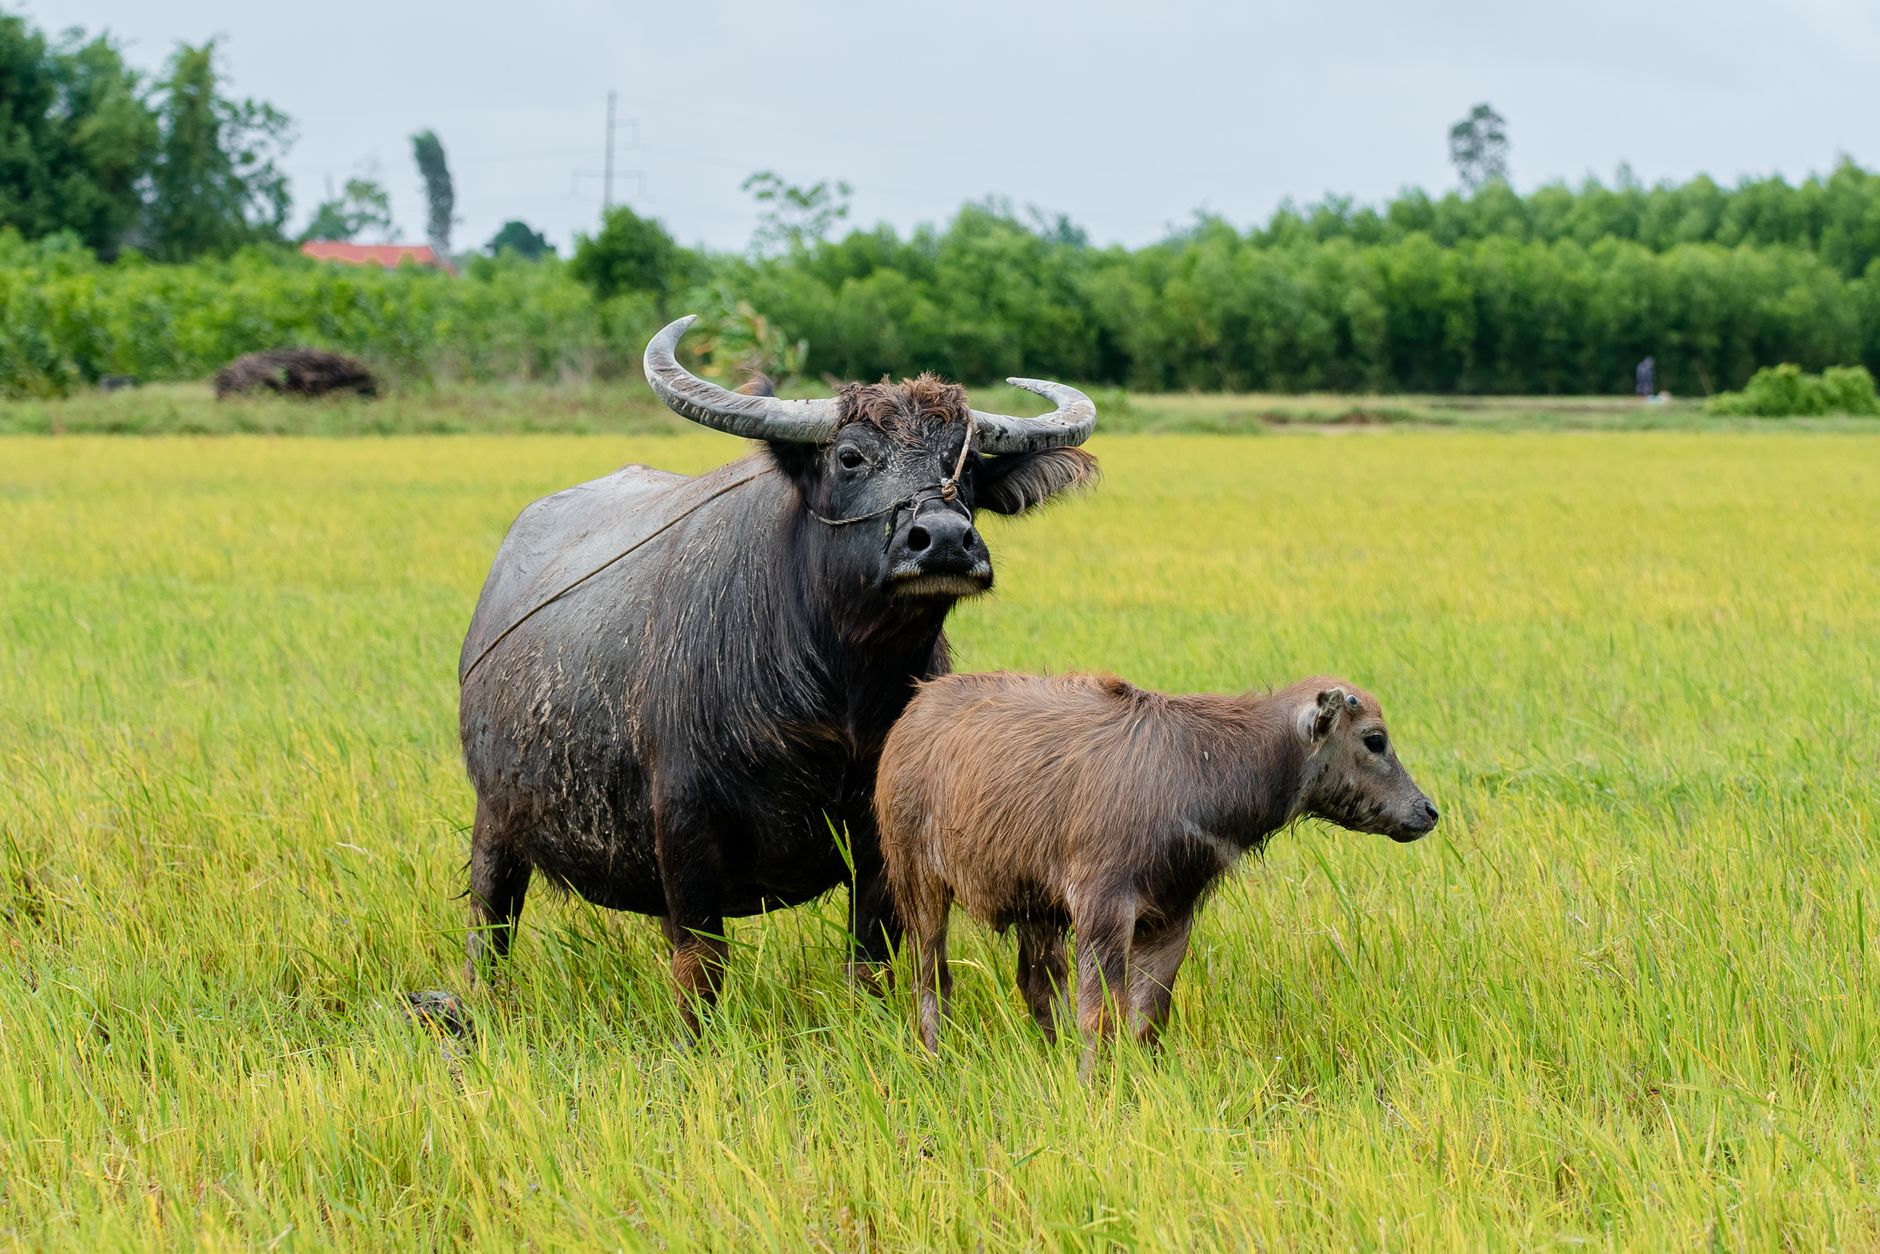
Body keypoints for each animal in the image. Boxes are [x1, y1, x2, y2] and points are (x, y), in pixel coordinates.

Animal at [458, 316, 1098, 1030]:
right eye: (850, 457)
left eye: (965, 469)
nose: (943, 539)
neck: (839, 696)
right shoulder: (683, 825)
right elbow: (699, 966)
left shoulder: (880, 839)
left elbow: (870, 961)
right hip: (494, 822)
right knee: (491, 924)